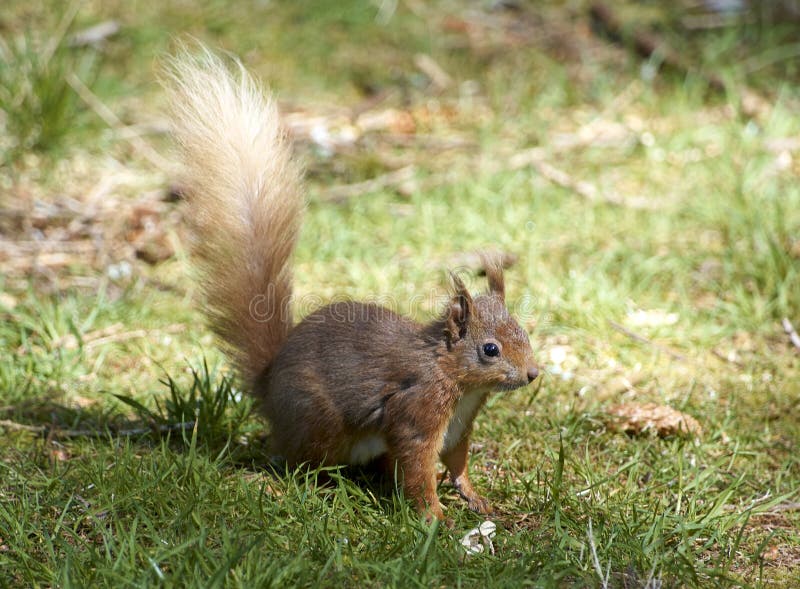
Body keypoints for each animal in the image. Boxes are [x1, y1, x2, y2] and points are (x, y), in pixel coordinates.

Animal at [164, 47, 540, 521]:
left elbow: (457, 462)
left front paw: (474, 496)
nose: (532, 373)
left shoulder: (459, 426)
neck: (456, 379)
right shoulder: (417, 412)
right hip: (320, 424)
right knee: (297, 462)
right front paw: (433, 517)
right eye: (490, 349)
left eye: (524, 333)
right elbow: (418, 468)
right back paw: (320, 485)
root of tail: (268, 389)